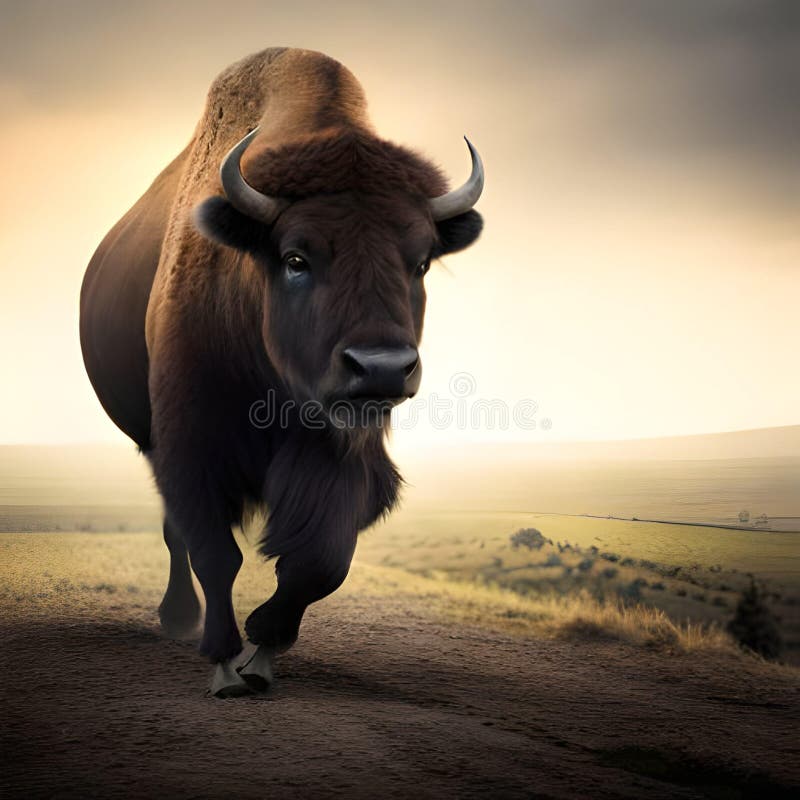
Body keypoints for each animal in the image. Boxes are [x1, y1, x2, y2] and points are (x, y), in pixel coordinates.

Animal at [80, 47, 483, 695]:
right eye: (296, 258)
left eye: (420, 262)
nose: (381, 368)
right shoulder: (191, 445)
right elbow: (214, 553)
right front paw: (224, 666)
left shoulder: (341, 451)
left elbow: (320, 561)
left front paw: (262, 652)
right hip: (150, 440)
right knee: (175, 535)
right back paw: (178, 619)